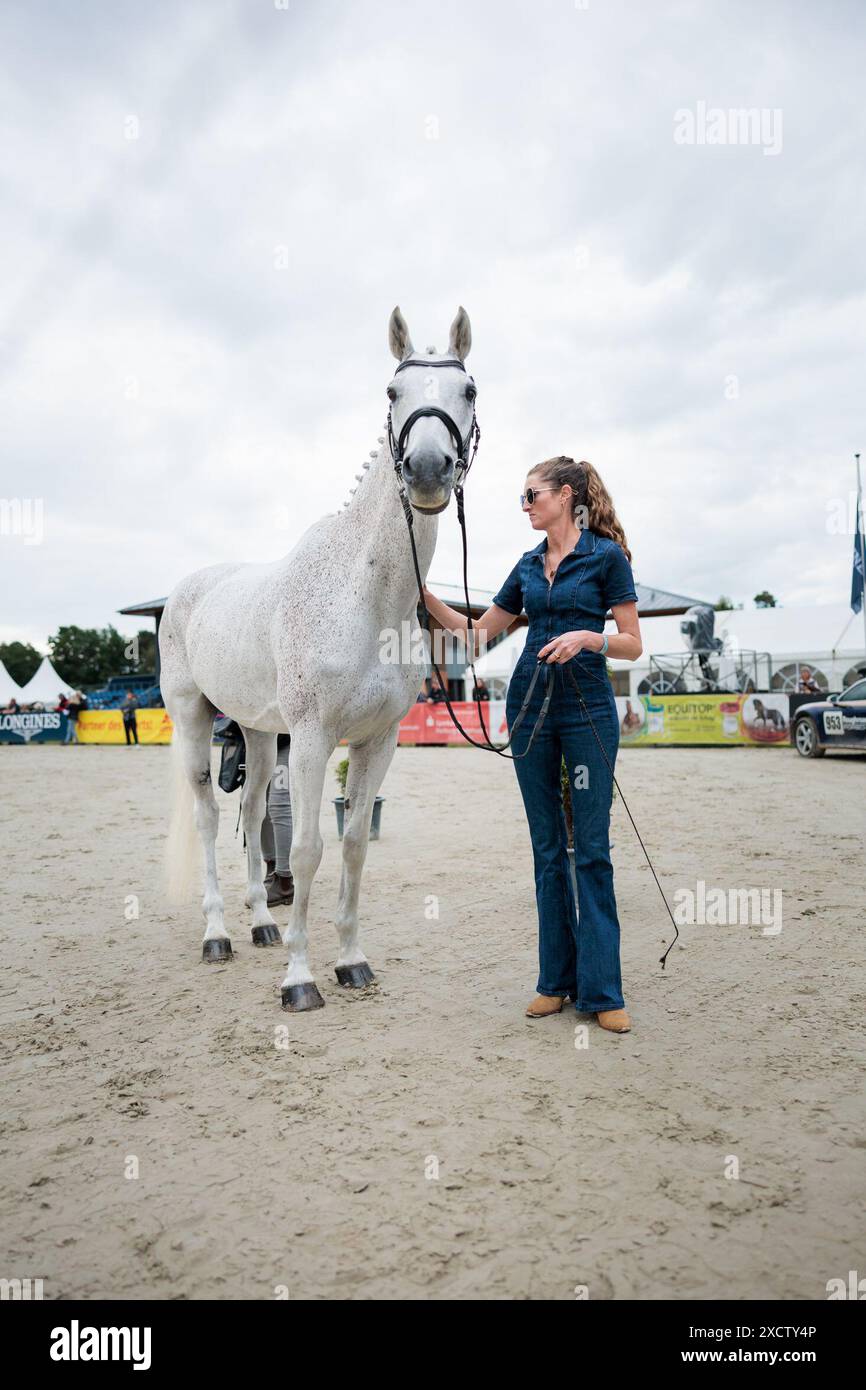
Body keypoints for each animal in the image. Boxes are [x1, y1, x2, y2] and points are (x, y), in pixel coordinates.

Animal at [160, 306, 477, 1010]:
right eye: (392, 391)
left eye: (467, 390)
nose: (428, 470)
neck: (365, 593)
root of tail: (187, 589)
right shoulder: (311, 739)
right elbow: (306, 849)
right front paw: (301, 978)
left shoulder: (377, 741)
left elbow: (354, 844)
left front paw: (351, 960)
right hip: (193, 721)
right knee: (209, 816)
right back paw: (218, 935)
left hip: (255, 734)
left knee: (252, 814)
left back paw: (260, 925)